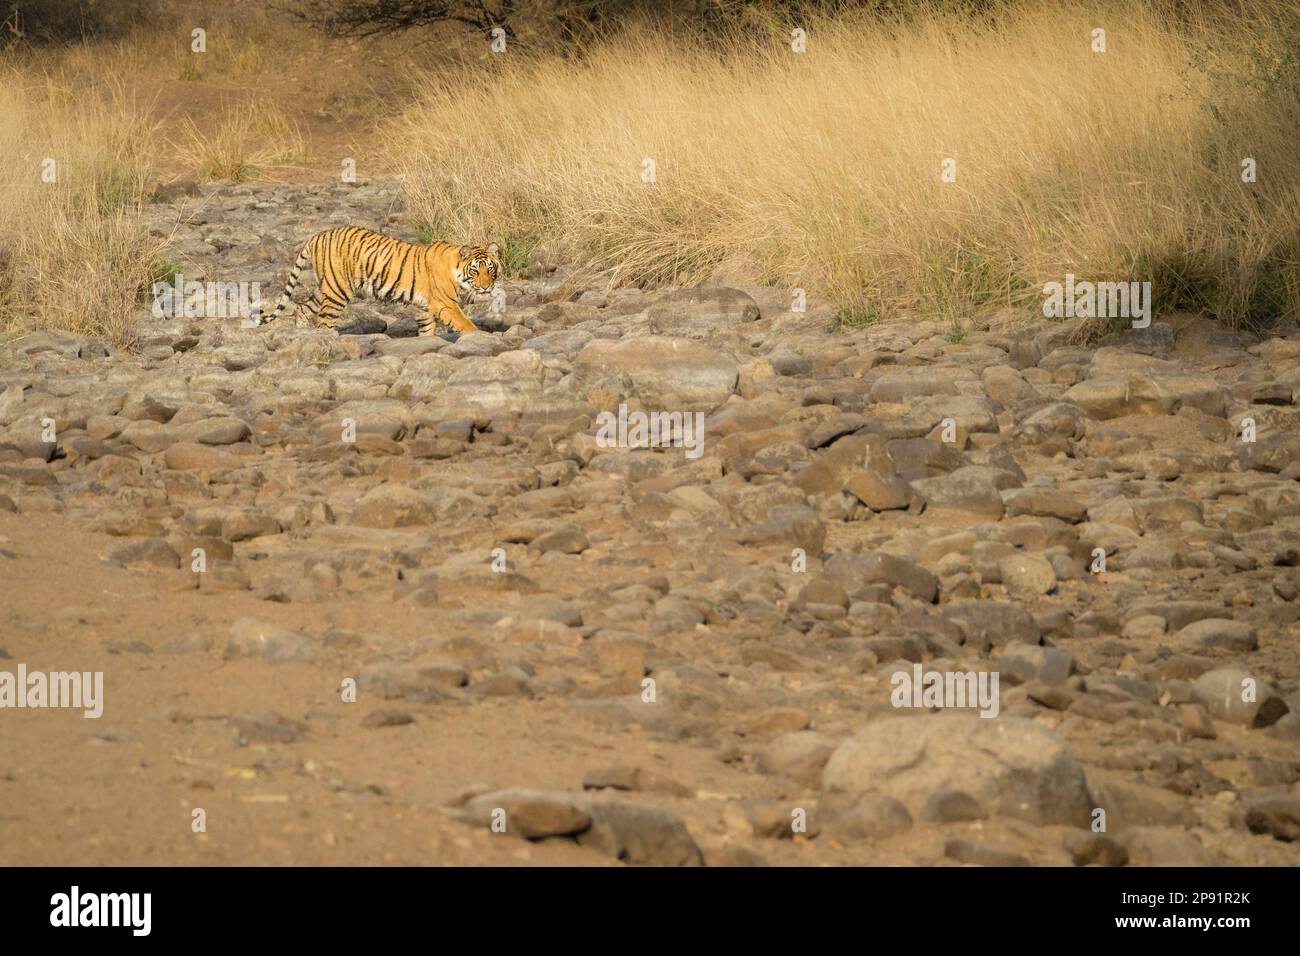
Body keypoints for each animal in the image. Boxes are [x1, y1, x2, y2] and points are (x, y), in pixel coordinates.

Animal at [251, 226, 501, 336]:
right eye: (475, 271)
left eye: (490, 269)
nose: (486, 287)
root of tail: (317, 235)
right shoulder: (445, 303)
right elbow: (464, 323)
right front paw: (477, 336)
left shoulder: (425, 305)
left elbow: (427, 329)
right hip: (337, 290)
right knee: (323, 319)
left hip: (325, 287)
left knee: (302, 308)